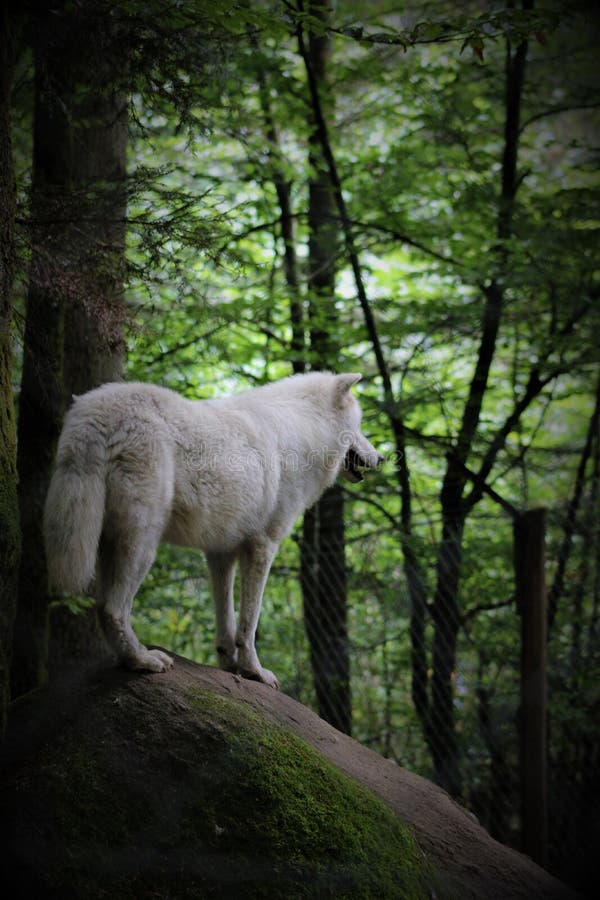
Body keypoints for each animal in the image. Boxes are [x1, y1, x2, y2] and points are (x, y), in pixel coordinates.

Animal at [44, 371, 382, 687]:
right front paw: (255, 671)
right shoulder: (263, 546)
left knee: (102, 605)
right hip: (141, 544)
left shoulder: (221, 552)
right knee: (112, 608)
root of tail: (96, 411)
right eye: (359, 426)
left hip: (105, 543)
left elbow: (226, 620)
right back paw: (143, 660)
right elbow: (249, 623)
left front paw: (229, 665)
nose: (381, 457)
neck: (307, 429)